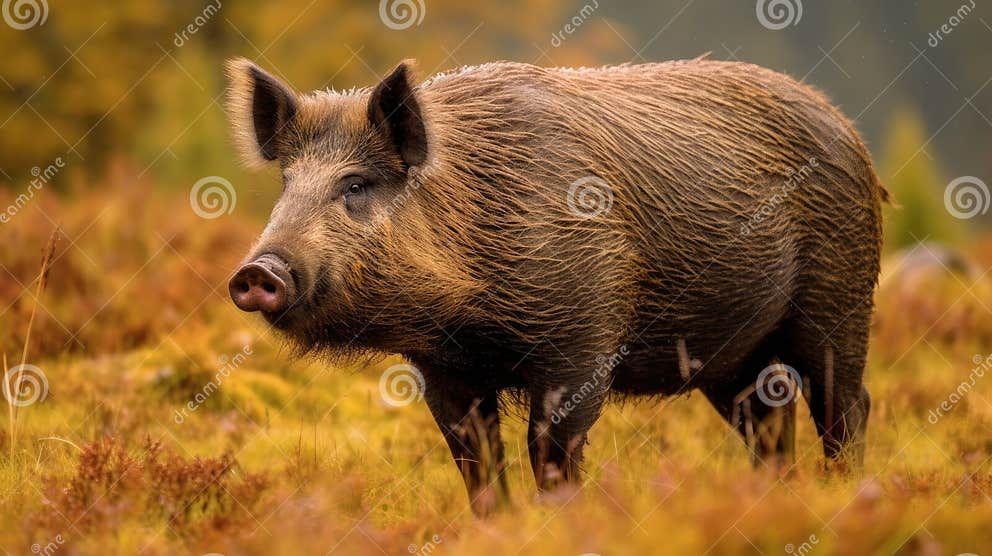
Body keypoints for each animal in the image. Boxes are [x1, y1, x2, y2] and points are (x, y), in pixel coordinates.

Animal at [225, 57, 887, 515]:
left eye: (357, 184)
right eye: (286, 182)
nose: (258, 271)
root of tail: (851, 132)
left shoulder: (582, 344)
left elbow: (552, 455)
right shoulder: (443, 371)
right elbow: (477, 465)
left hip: (843, 295)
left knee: (846, 403)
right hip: (730, 355)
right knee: (770, 415)